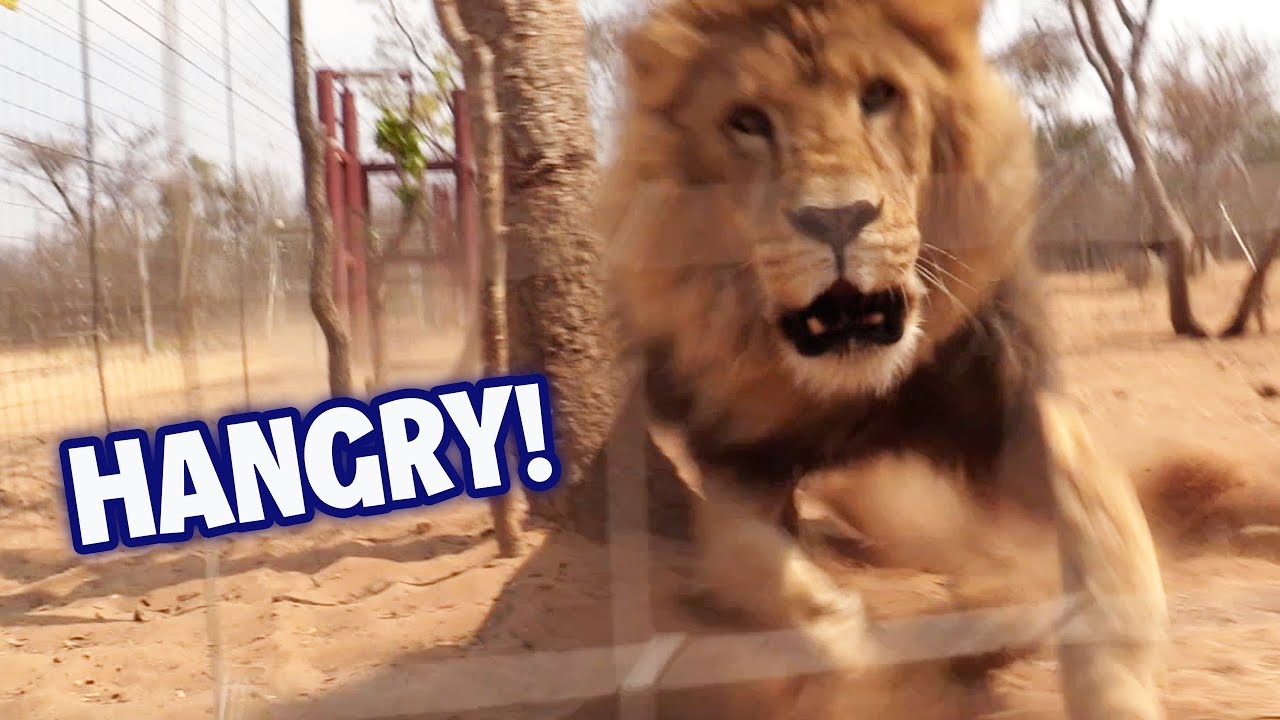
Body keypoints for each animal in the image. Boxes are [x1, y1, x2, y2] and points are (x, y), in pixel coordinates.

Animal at [596, 0, 1168, 718]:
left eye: (879, 96)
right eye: (747, 121)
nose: (837, 219)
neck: (855, 391)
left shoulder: (1019, 401)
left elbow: (1105, 543)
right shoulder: (736, 463)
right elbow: (741, 554)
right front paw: (851, 654)